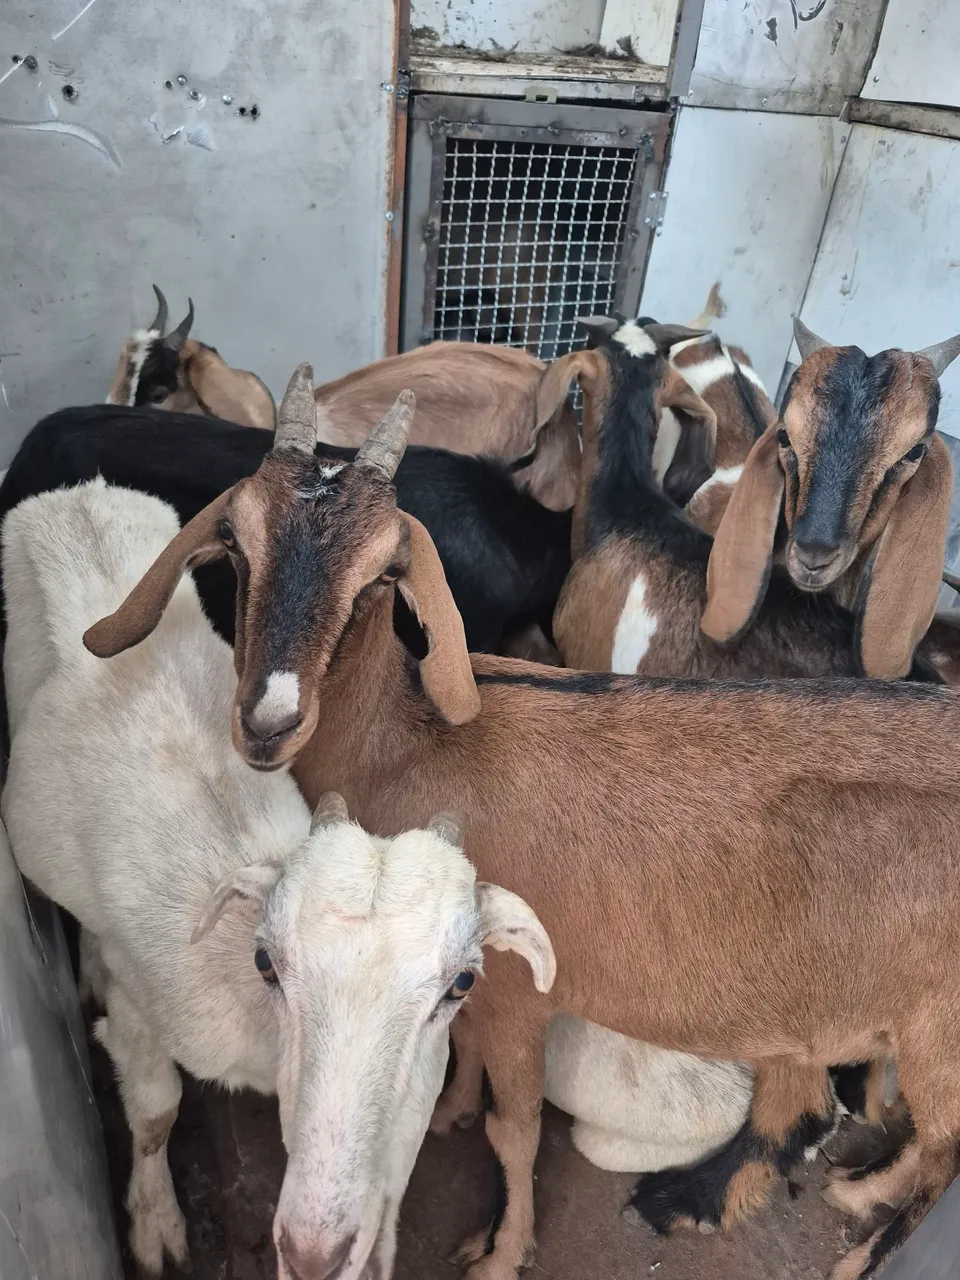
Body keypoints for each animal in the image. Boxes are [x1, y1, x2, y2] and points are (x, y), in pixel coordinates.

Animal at [0, 478, 549, 1280]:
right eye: (267, 963)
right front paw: (157, 1230)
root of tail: (78, 495)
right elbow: (155, 1112)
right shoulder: (143, 1012)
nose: (312, 1253)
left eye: (461, 984)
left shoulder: (406, 1120)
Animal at [84, 366, 960, 1280]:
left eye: (381, 573)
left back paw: (858, 1236)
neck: (406, 741)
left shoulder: (516, 997)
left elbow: (517, 1132)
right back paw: (854, 1188)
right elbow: (465, 1063)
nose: (268, 720)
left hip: (939, 1038)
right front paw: (452, 1113)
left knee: (939, 1155)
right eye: (237, 544)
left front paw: (501, 1253)